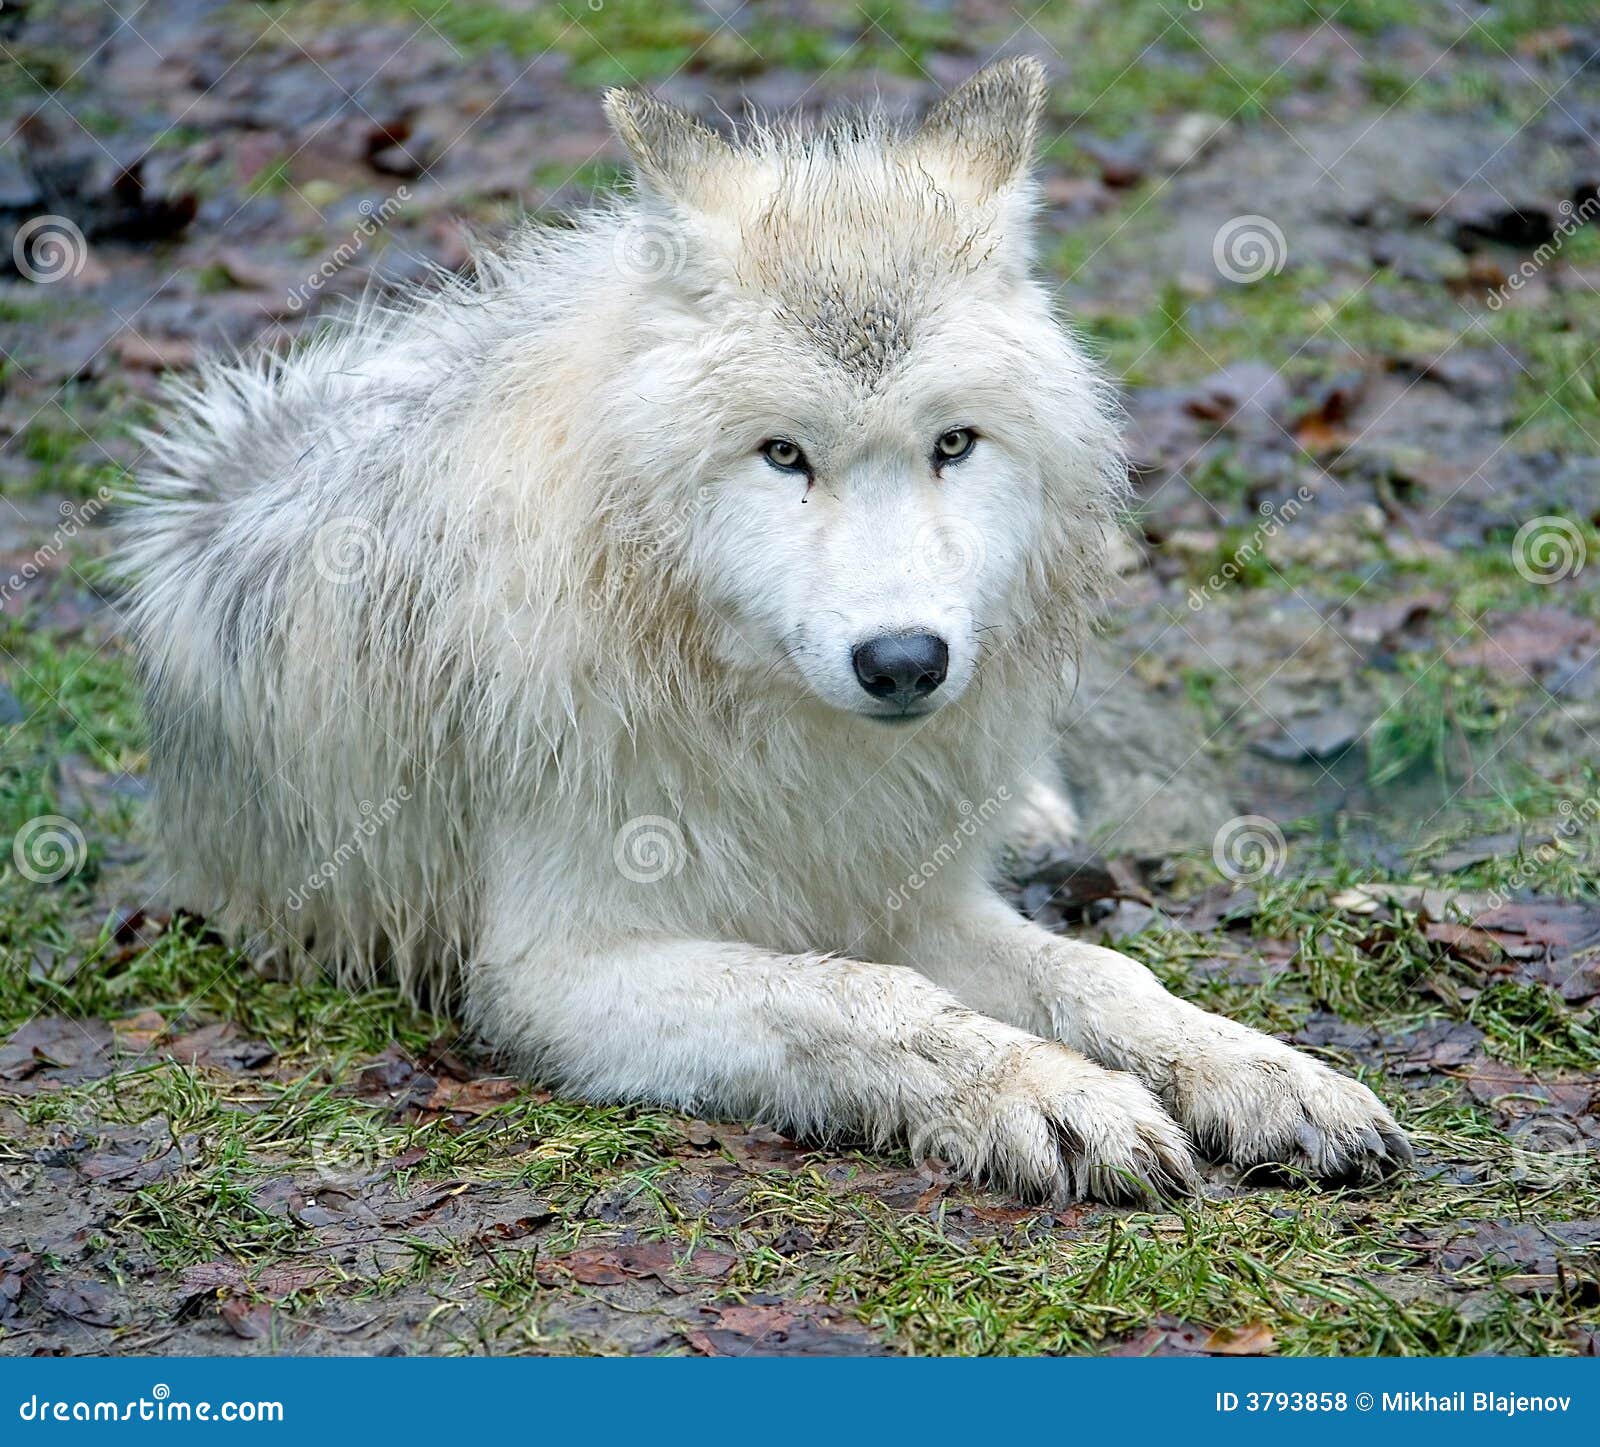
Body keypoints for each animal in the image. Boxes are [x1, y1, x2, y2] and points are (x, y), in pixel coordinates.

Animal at [121, 58, 1409, 1201]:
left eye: (953, 444)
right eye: (783, 455)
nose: (904, 661)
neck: (755, 713)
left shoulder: (904, 893)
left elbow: (1104, 975)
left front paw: (1263, 1072)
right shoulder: (555, 972)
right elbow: (861, 1001)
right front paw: (1053, 1098)